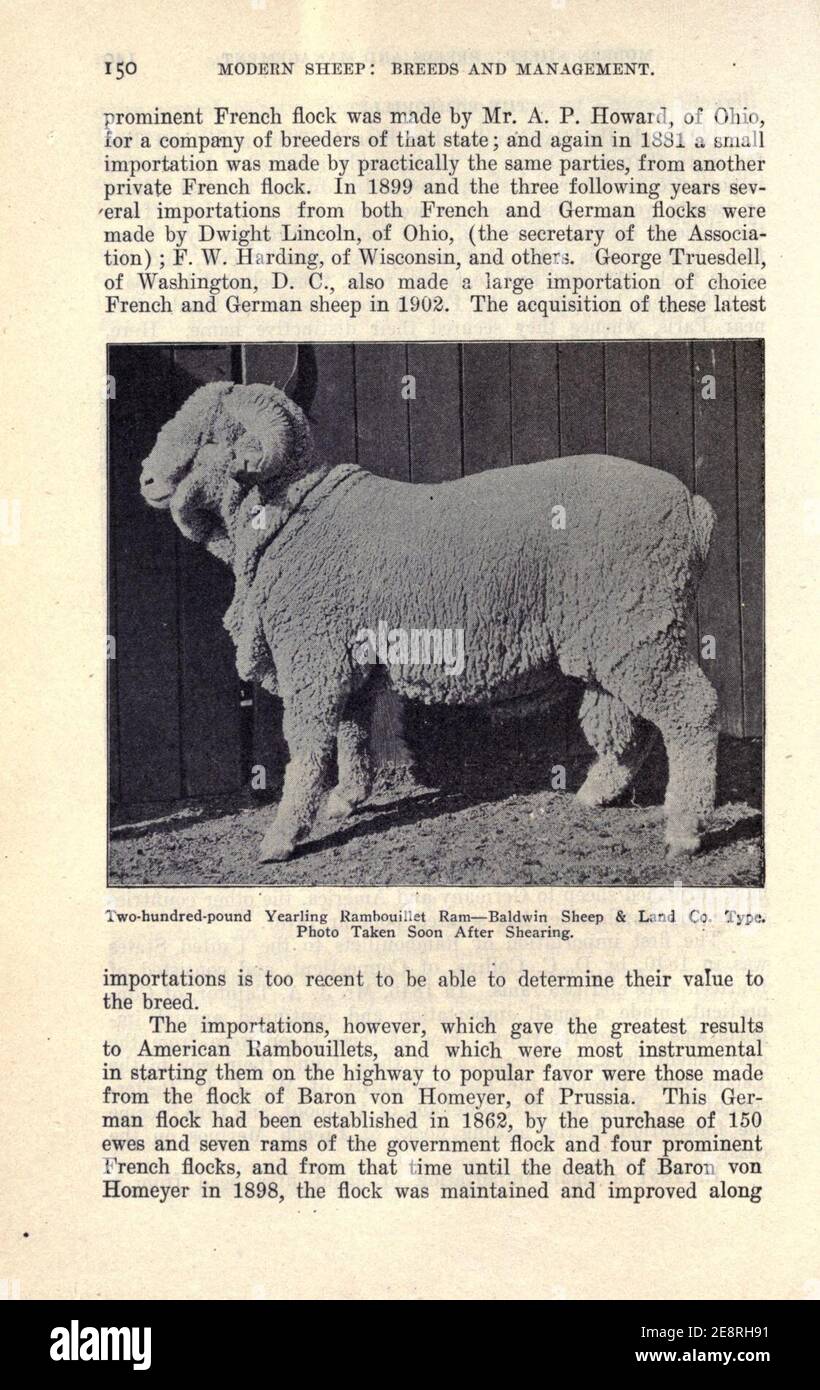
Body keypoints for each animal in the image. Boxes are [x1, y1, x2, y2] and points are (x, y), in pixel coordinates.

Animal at [140, 357, 718, 865]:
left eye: (211, 438)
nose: (145, 480)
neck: (290, 516)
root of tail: (693, 509)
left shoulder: (313, 658)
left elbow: (308, 750)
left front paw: (281, 839)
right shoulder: (349, 659)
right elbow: (352, 734)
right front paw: (346, 801)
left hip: (641, 627)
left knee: (693, 712)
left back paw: (685, 831)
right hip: (617, 635)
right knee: (628, 724)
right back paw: (599, 793)